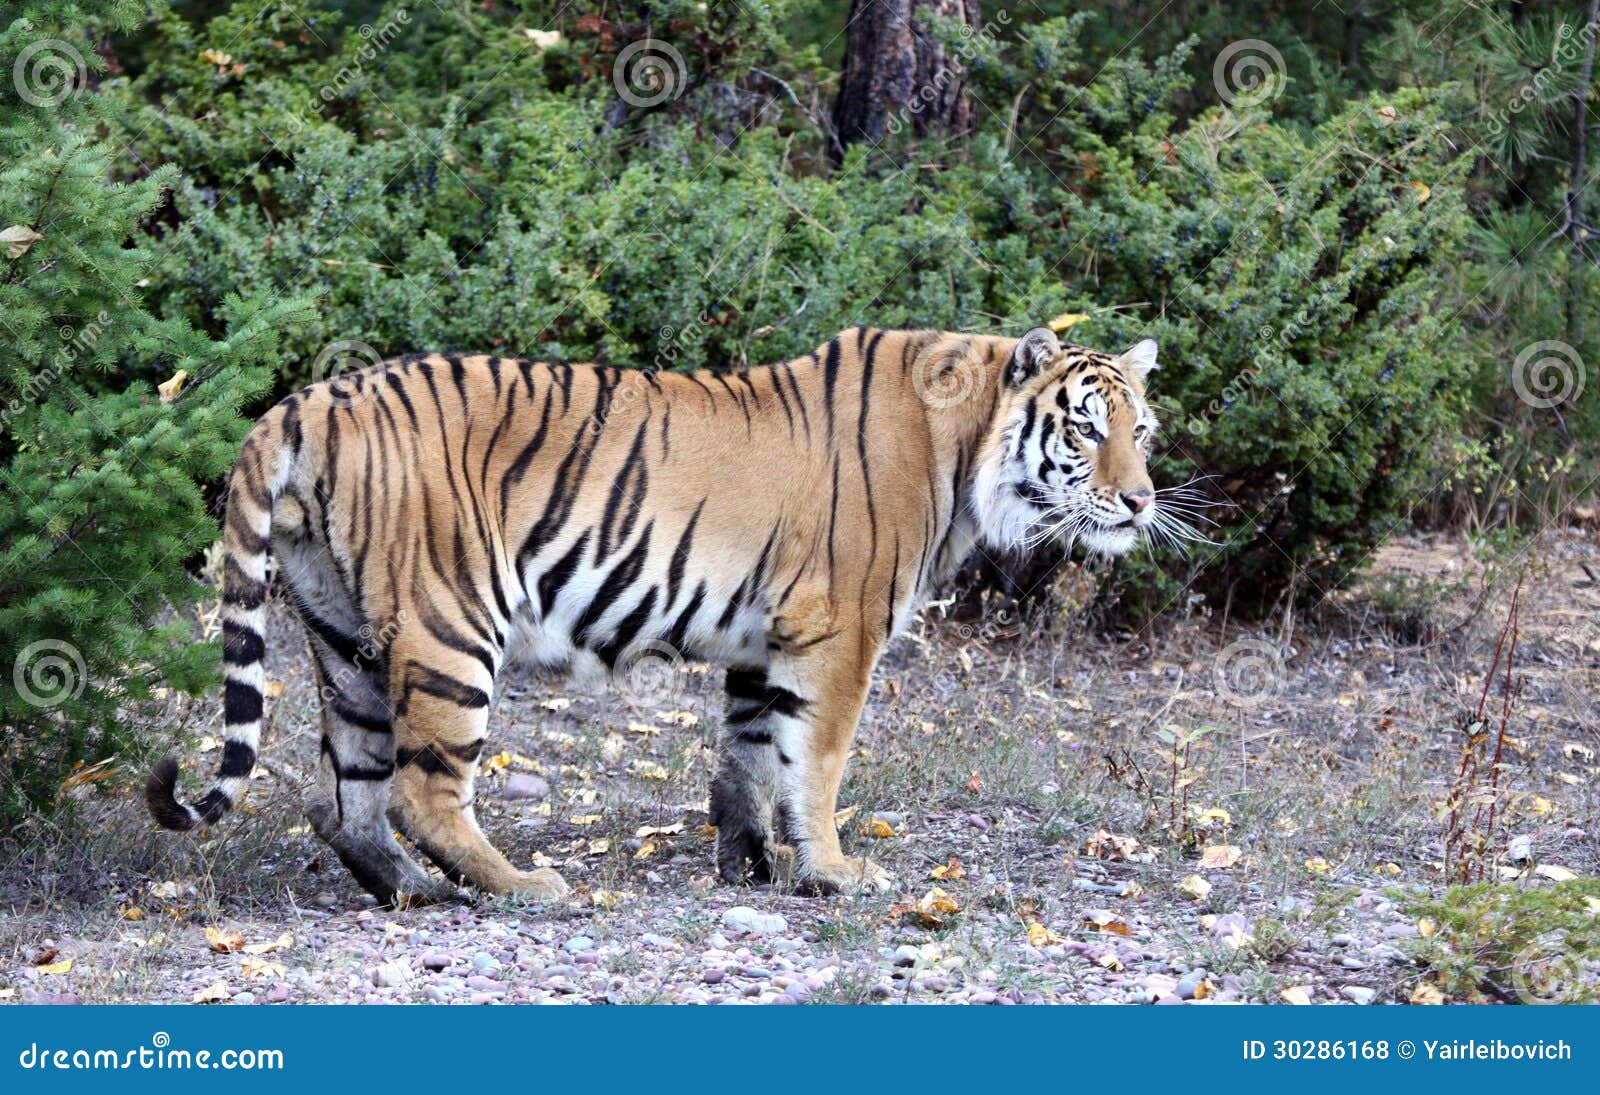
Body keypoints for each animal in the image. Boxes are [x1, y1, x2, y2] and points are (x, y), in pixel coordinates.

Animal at [147, 325, 1171, 903]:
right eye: (1086, 428)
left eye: (1143, 430)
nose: (1139, 500)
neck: (965, 449)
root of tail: (312, 398)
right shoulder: (839, 631)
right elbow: (819, 762)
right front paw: (835, 872)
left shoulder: (766, 637)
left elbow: (753, 756)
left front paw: (753, 866)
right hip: (451, 625)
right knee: (421, 791)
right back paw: (524, 888)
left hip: (342, 630)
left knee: (343, 798)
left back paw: (412, 893)